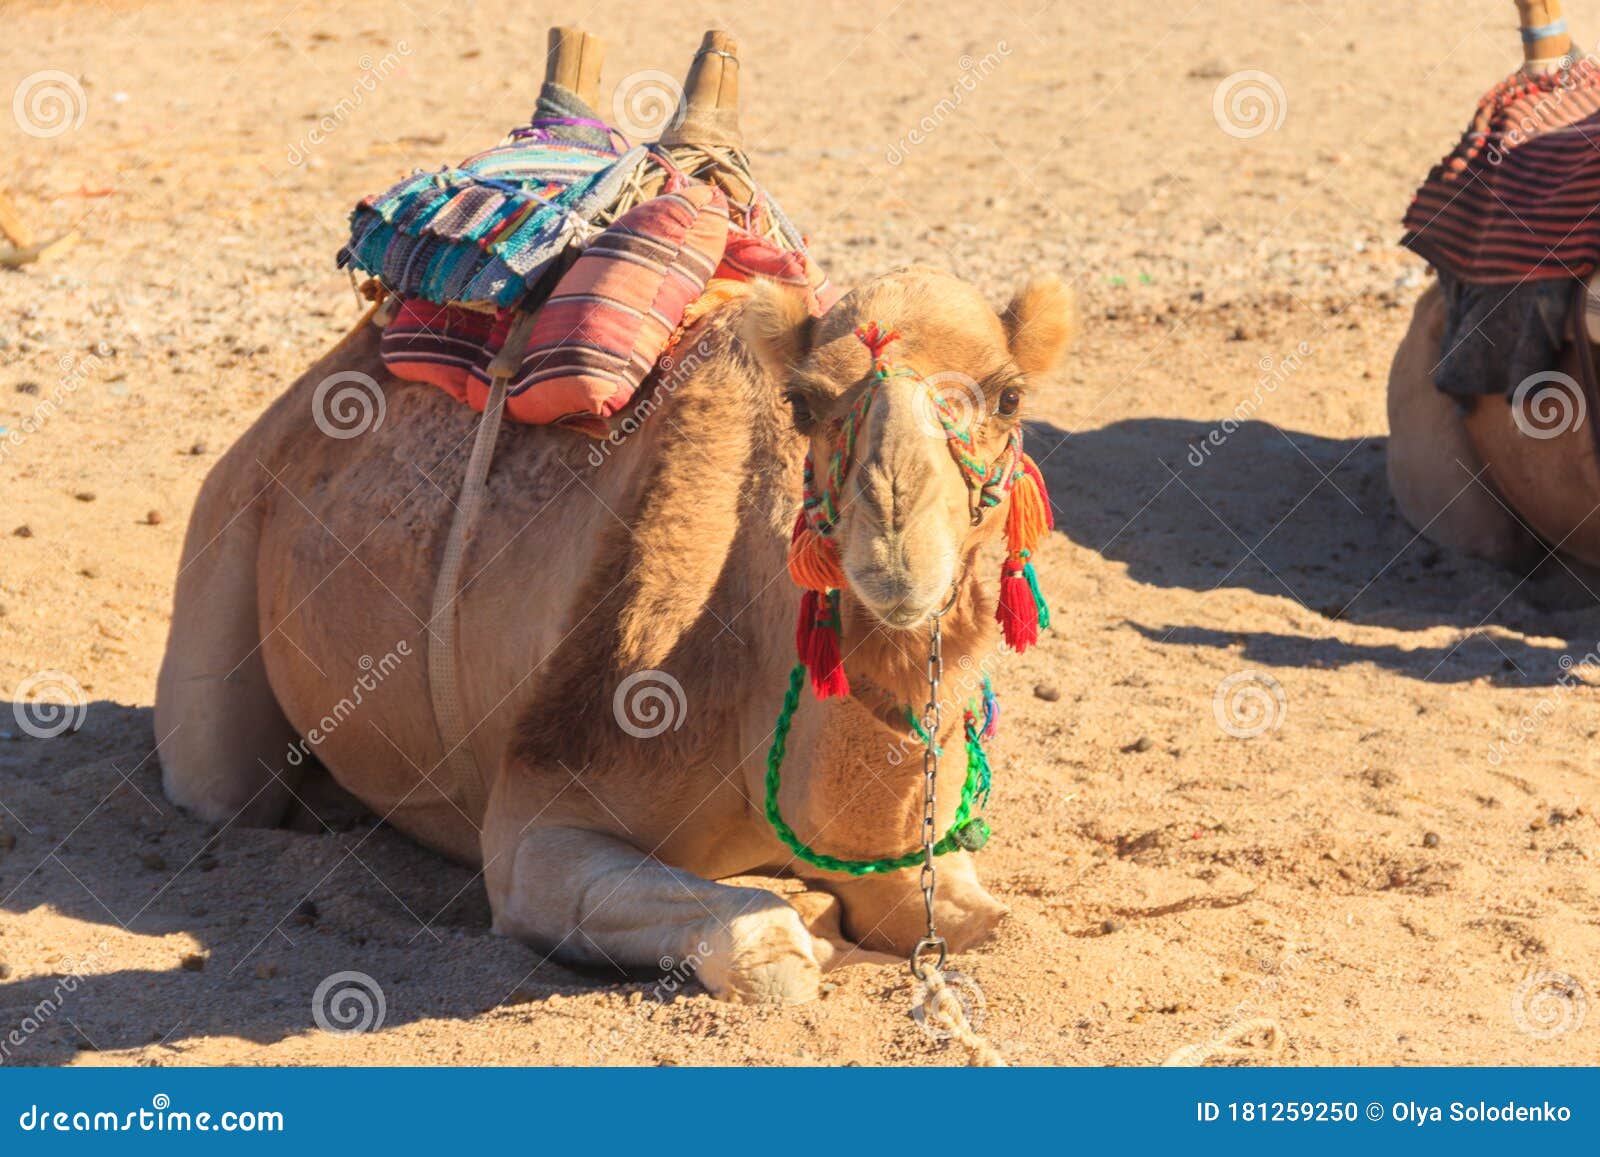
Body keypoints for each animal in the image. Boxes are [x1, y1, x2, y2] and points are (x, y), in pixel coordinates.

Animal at [153, 30, 1075, 1003]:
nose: (897, 546)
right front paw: (808, 920)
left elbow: (989, 921)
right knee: (219, 779)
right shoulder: (538, 822)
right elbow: (770, 944)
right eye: (808, 402)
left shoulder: (916, 859)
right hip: (228, 533)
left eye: (1009, 395)